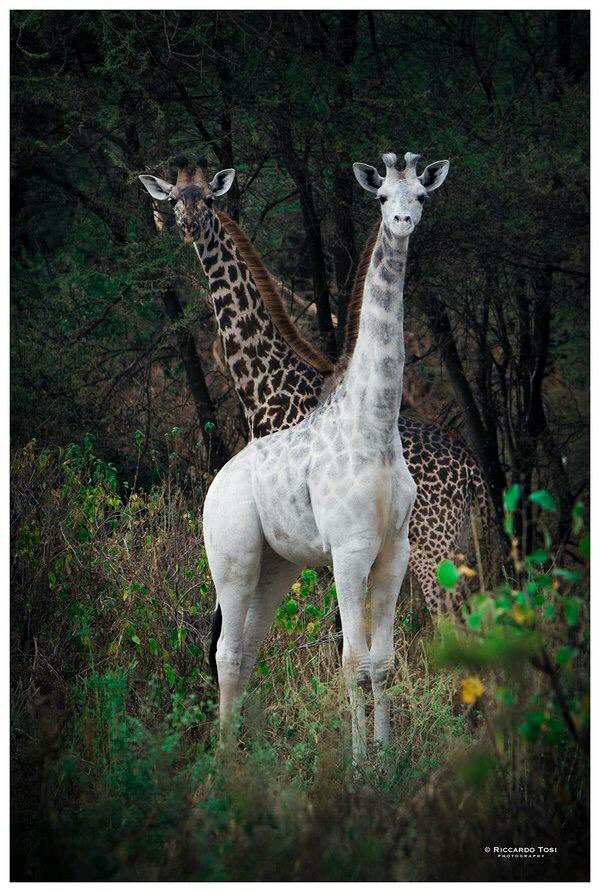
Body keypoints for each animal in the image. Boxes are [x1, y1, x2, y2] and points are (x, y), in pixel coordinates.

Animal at [140, 156, 496, 618]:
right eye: (175, 199)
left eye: (209, 198)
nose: (189, 223)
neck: (266, 385)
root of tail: (473, 473)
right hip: (466, 545)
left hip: (433, 547)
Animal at [201, 150, 449, 760]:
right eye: (382, 197)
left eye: (421, 196)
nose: (403, 223)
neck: (375, 429)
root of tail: (216, 483)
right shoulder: (350, 552)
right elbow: (351, 661)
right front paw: (359, 763)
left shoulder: (394, 553)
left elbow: (383, 662)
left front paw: (385, 758)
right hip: (233, 560)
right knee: (225, 653)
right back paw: (222, 762)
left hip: (276, 567)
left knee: (246, 652)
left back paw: (243, 760)